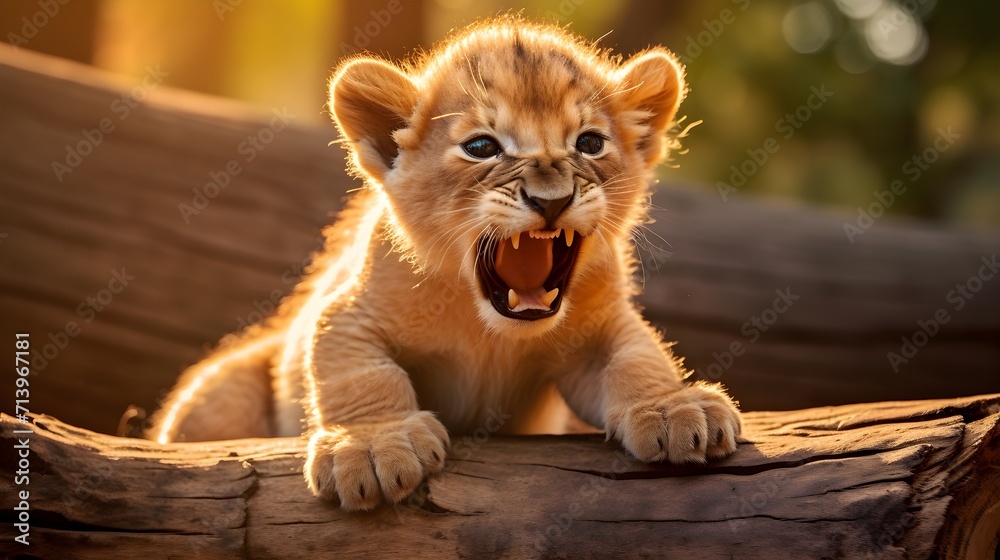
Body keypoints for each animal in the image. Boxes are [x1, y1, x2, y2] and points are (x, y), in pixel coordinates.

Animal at [151, 16, 742, 511]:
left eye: (590, 143)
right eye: (482, 147)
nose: (551, 199)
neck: (489, 332)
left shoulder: (598, 327)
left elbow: (637, 356)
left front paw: (673, 408)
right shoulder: (347, 310)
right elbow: (357, 372)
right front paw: (372, 445)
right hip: (218, 393)